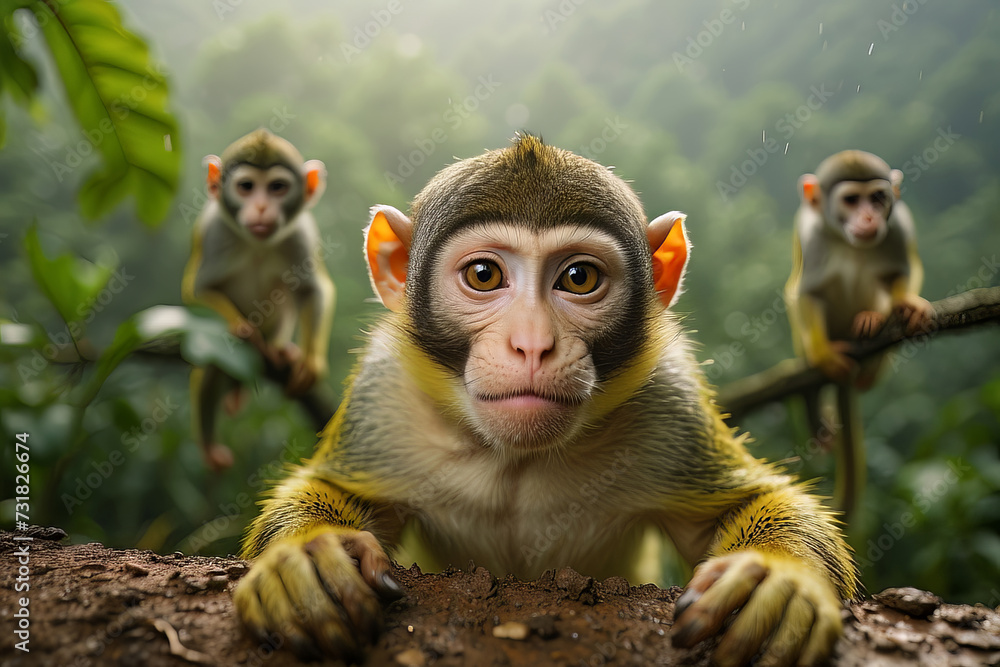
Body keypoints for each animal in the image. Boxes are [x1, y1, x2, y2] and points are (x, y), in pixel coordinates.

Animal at [182, 129, 334, 471]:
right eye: (246, 187)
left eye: (277, 187)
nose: (262, 207)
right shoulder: (214, 232)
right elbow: (197, 291)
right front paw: (241, 329)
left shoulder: (301, 234)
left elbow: (312, 290)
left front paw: (309, 362)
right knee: (213, 367)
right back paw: (209, 445)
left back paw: (279, 350)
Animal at [233, 135, 858, 665]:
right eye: (484, 274)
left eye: (578, 278)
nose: (533, 343)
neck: (517, 459)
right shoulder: (383, 395)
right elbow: (338, 490)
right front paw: (309, 554)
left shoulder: (668, 401)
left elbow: (745, 503)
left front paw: (774, 575)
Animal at [785, 149, 933, 519]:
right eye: (851, 200)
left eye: (878, 198)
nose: (868, 217)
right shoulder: (812, 236)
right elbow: (806, 292)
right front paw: (823, 355)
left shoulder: (898, 226)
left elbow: (902, 270)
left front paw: (905, 303)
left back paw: (873, 336)